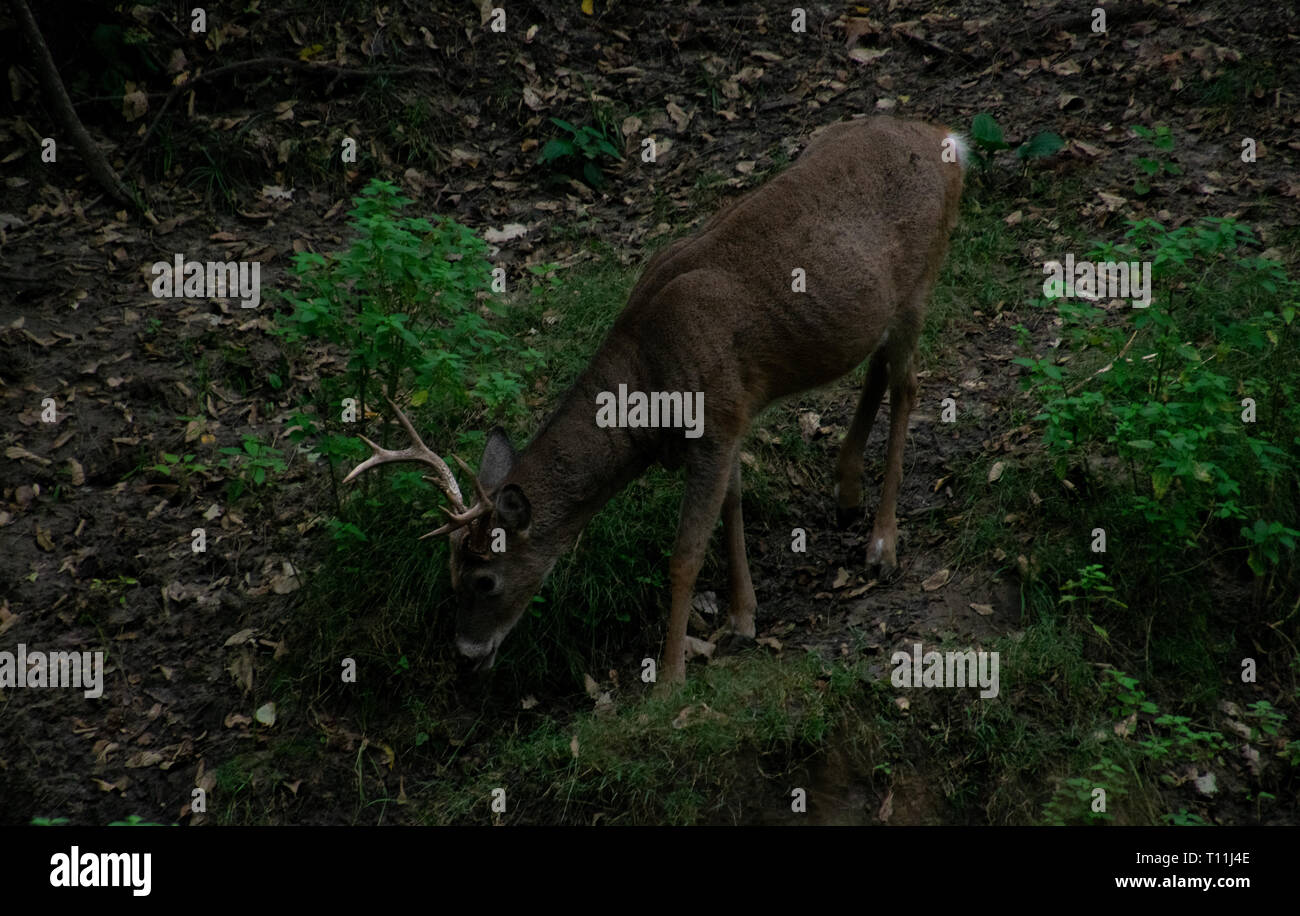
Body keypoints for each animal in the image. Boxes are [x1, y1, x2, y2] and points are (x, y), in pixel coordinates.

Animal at [344, 116, 966, 687]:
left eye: (485, 579)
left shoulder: (715, 420)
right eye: (451, 571)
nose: (467, 656)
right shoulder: (729, 417)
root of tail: (946, 140)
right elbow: (731, 507)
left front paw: (670, 678)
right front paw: (743, 618)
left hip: (920, 278)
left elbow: (684, 554)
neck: (648, 392)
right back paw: (846, 491)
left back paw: (882, 544)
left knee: (909, 387)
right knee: (880, 368)